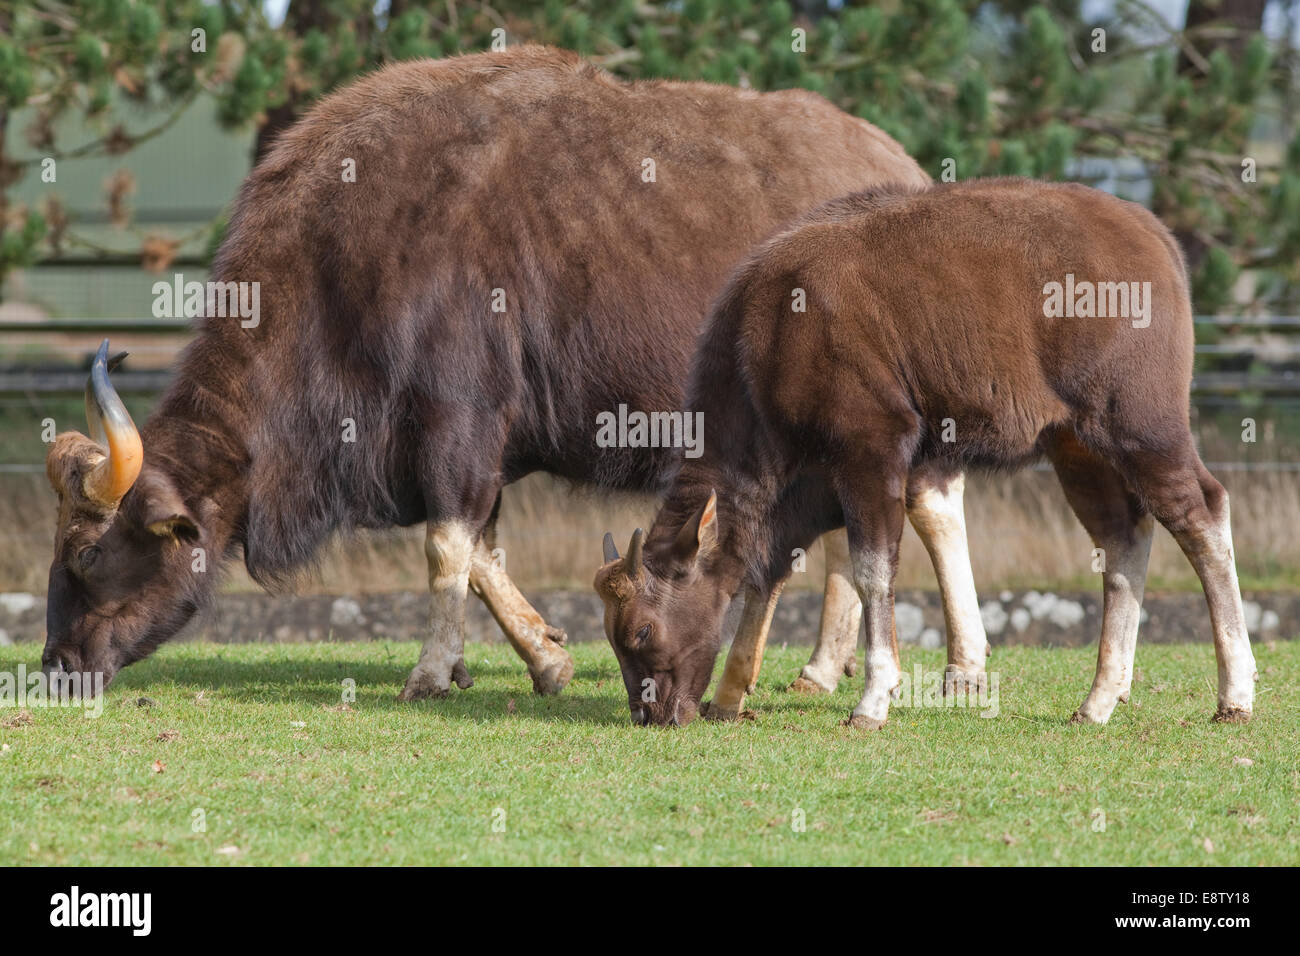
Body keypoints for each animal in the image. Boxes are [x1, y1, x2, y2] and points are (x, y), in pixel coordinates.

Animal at [41, 46, 989, 709]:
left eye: (89, 555)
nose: (56, 667)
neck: (344, 258)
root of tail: (906, 171)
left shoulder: (457, 422)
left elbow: (447, 547)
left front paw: (437, 671)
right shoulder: (476, 449)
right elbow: (482, 553)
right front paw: (532, 655)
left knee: (931, 511)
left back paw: (961, 666)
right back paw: (821, 670)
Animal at [596, 178, 1258, 728]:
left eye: (642, 631)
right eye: (613, 638)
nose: (647, 713)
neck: (770, 334)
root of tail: (1156, 238)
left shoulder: (872, 447)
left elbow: (872, 571)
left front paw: (872, 700)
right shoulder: (816, 481)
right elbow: (768, 564)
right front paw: (730, 695)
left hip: (1142, 425)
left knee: (1202, 512)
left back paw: (1235, 694)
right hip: (1076, 444)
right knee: (1123, 536)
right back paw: (1099, 699)